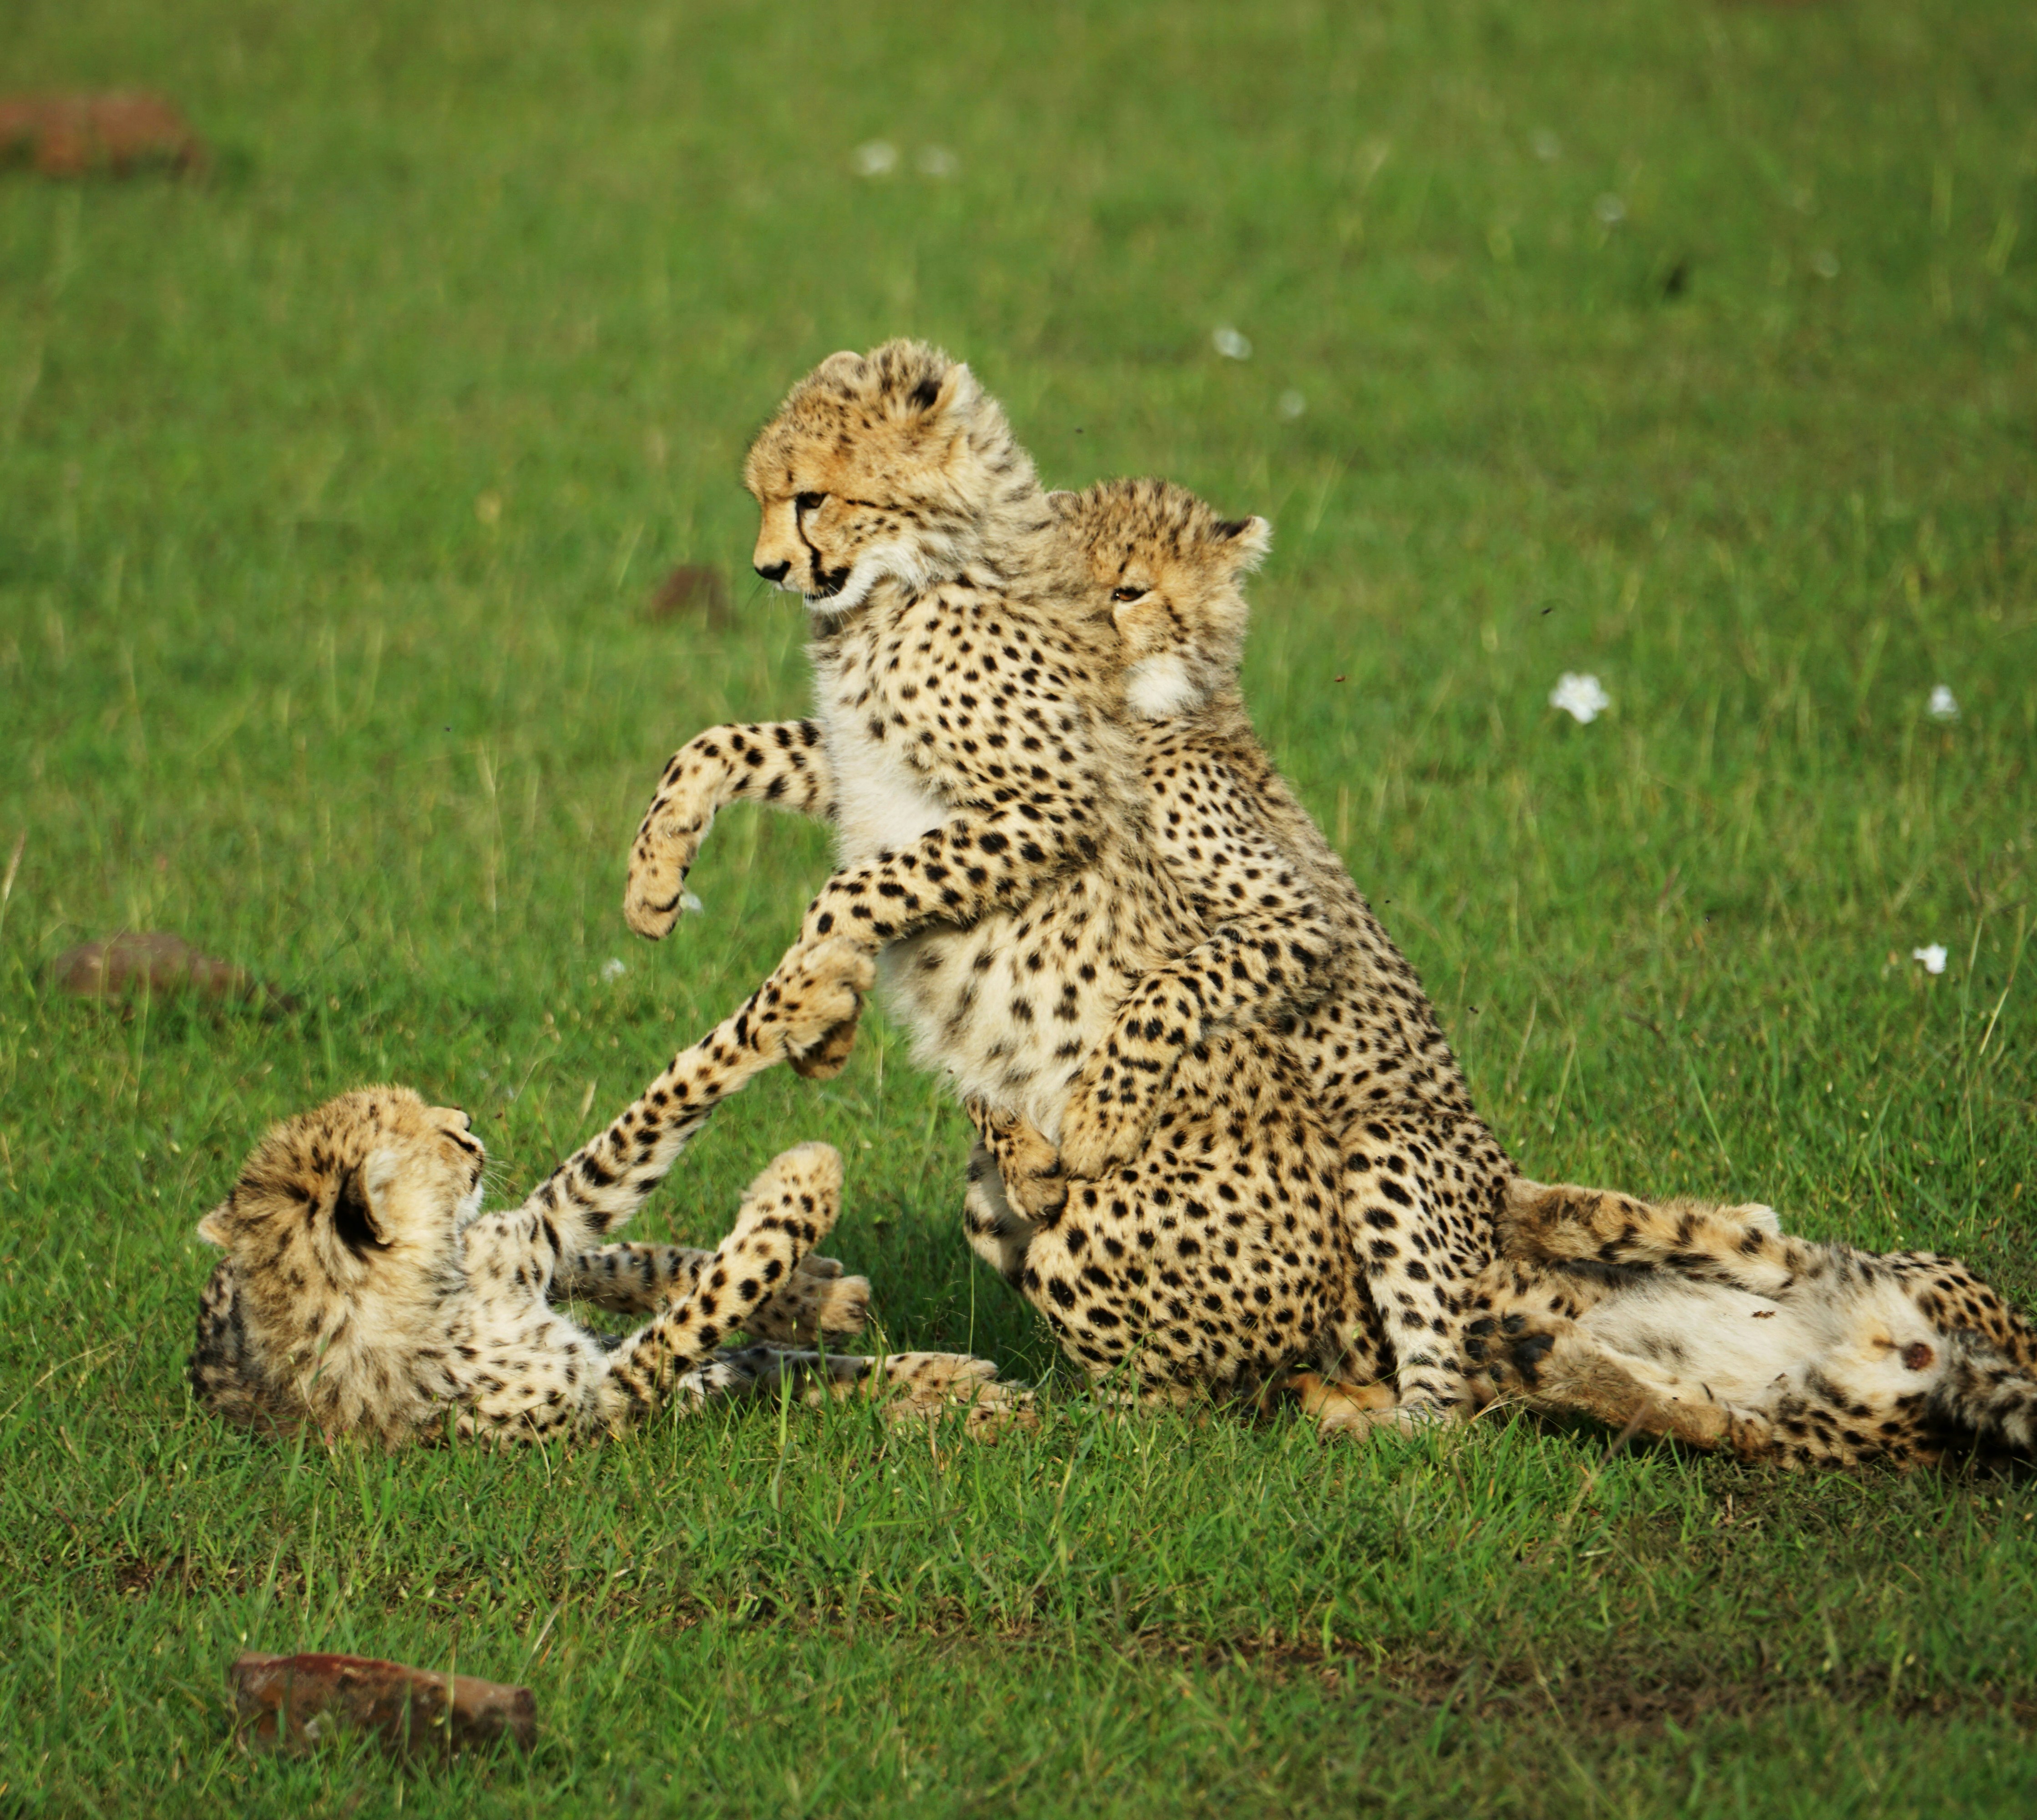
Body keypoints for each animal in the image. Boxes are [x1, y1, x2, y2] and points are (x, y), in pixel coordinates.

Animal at [189, 937, 1028, 1445]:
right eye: (443, 1140)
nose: (469, 1123)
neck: (435, 1289)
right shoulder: (608, 1406)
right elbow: (712, 1311)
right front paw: (804, 1183)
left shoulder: (542, 1232)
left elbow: (654, 1114)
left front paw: (801, 993)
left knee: (616, 1269)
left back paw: (822, 1295)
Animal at [623, 341, 1386, 1417]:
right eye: (766, 498)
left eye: (812, 498)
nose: (768, 569)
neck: (910, 575)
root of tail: (1328, 1313)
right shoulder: (862, 774)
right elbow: (725, 743)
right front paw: (656, 879)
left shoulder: (1048, 805)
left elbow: (845, 897)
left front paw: (821, 1014)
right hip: (997, 1217)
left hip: (1110, 1240)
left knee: (1181, 1398)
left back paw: (1023, 1407)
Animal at [1460, 1175, 2037, 1471]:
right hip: (1798, 1416)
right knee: (1721, 1425)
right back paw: (1535, 1358)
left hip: (1819, 1272)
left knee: (1637, 1222)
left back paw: (1527, 1218)